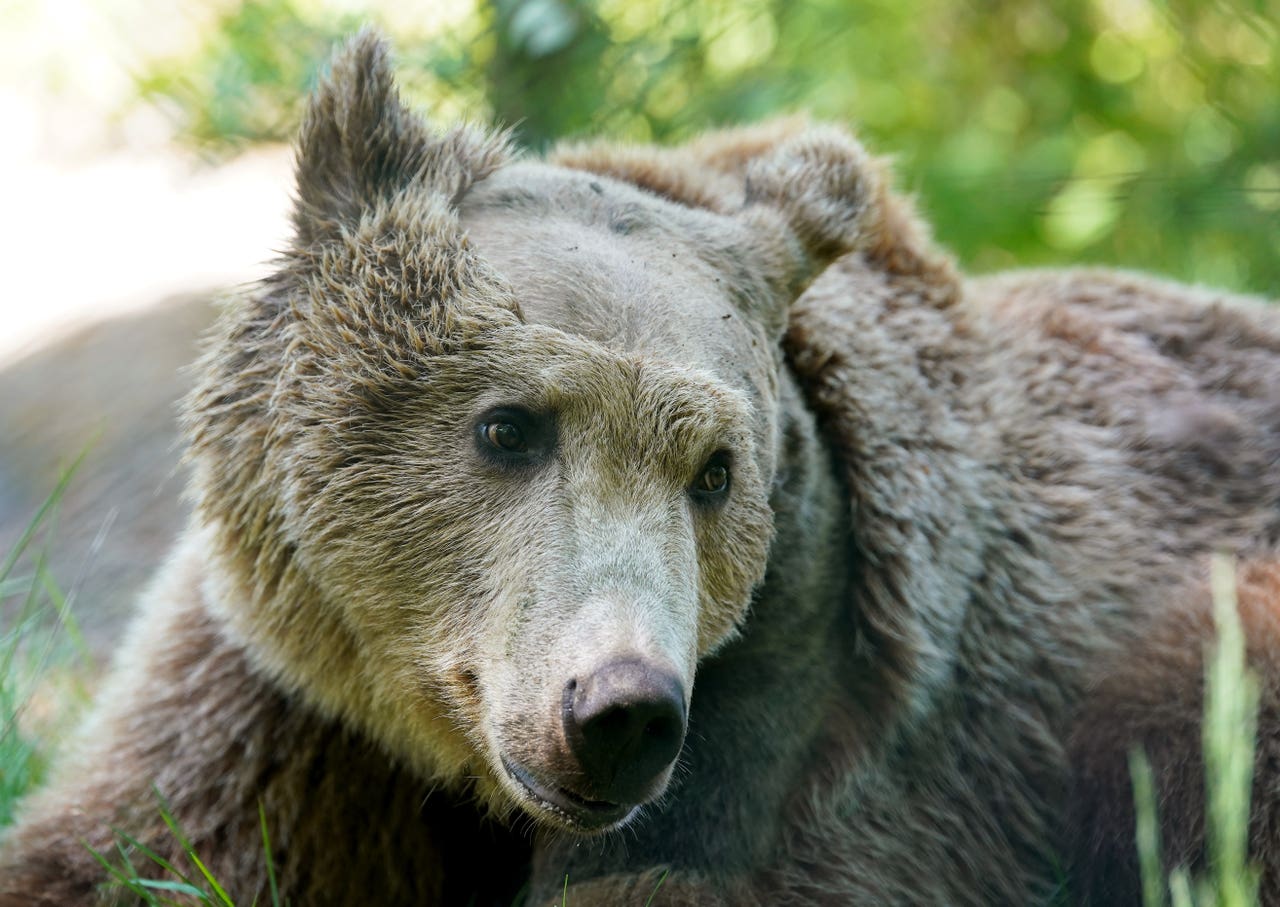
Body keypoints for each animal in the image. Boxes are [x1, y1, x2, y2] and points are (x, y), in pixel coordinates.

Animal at [3, 30, 1280, 905]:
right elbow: (123, 844)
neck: (458, 761)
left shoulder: (798, 721)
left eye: (712, 472)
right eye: (508, 426)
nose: (617, 711)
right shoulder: (290, 694)